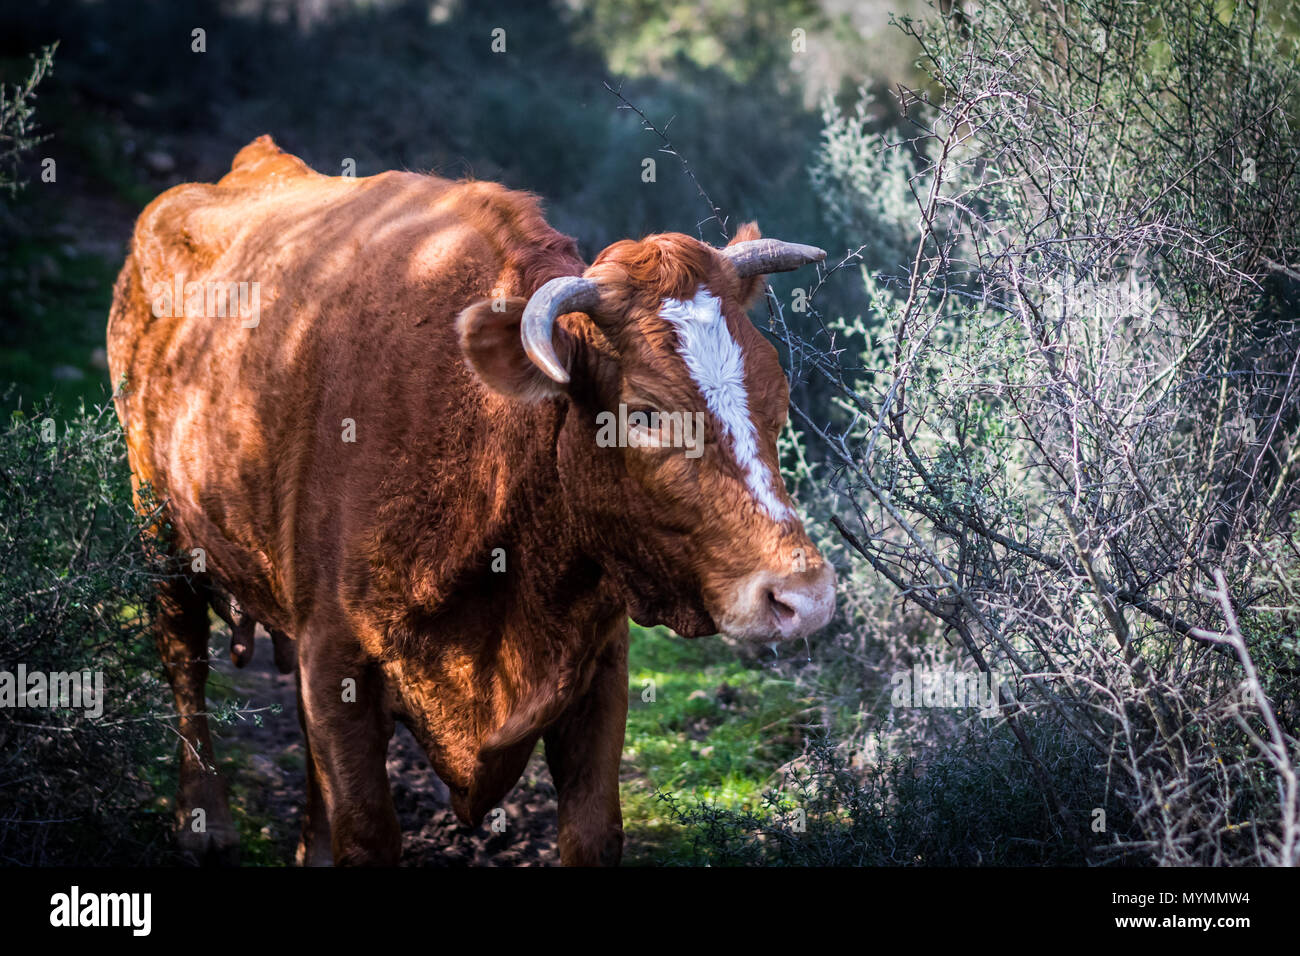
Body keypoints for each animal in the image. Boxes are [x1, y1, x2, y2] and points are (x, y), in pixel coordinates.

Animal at [107, 135, 836, 866]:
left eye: (777, 397)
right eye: (646, 413)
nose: (804, 596)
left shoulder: (598, 667)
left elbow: (593, 831)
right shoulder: (335, 656)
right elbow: (366, 829)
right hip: (156, 526)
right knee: (184, 659)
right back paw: (203, 822)